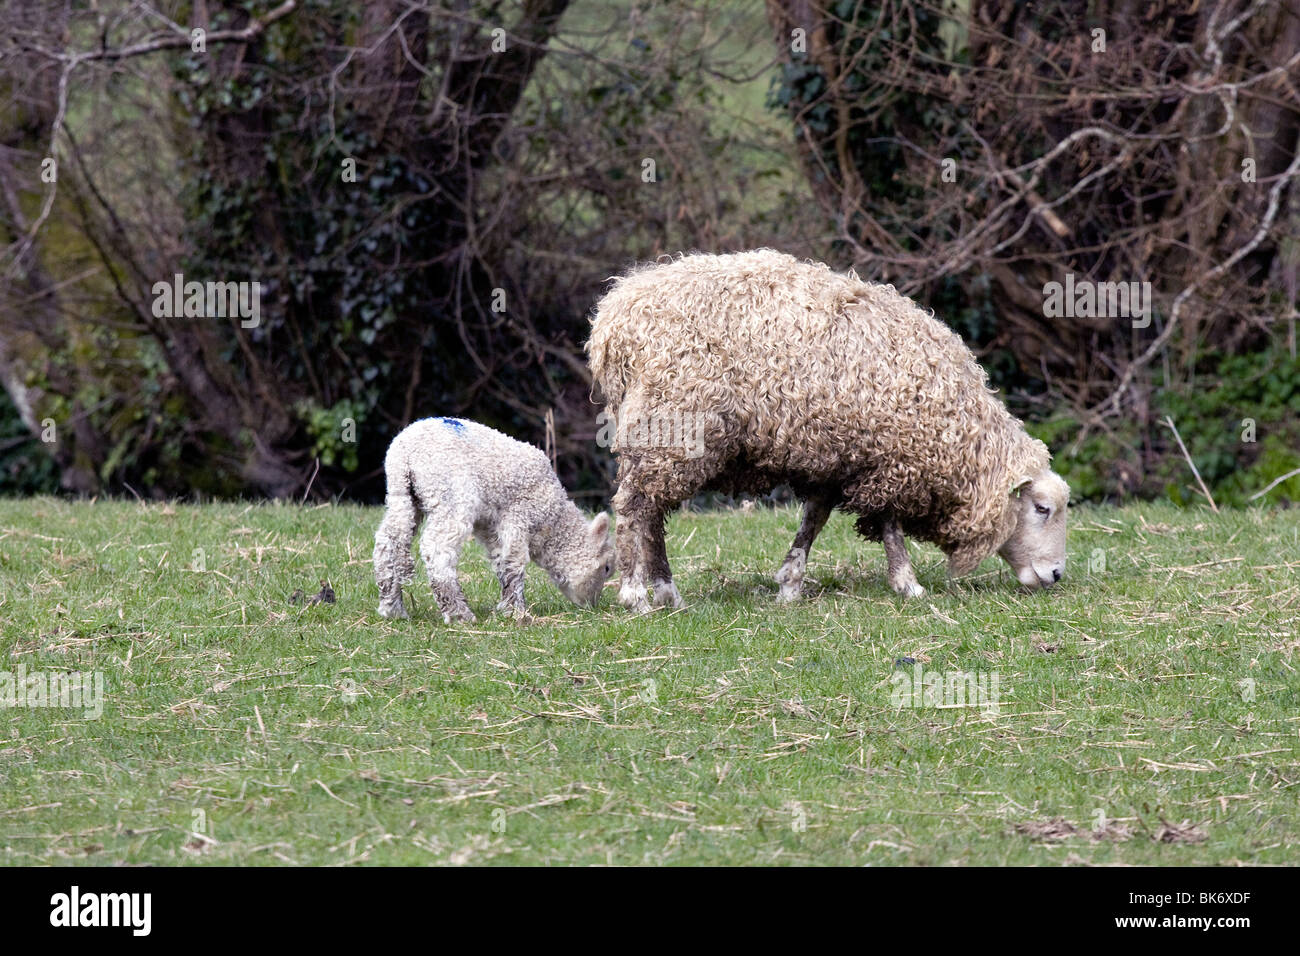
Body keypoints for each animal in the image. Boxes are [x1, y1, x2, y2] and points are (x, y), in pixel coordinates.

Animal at [373, 417, 614, 622]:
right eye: (607, 568)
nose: (592, 606)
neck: (552, 519)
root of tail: (404, 452)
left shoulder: (489, 525)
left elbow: (500, 560)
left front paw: (507, 606)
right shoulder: (519, 514)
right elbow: (514, 561)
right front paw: (518, 612)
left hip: (402, 496)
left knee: (387, 542)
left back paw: (392, 607)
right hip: (450, 495)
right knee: (437, 549)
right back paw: (459, 613)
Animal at [585, 249, 1069, 612]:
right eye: (1041, 508)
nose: (1057, 574)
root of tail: (616, 317)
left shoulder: (835, 459)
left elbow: (813, 521)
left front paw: (790, 584)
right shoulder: (886, 457)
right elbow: (888, 524)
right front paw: (908, 584)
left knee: (652, 513)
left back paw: (668, 592)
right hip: (669, 423)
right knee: (634, 508)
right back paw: (636, 594)